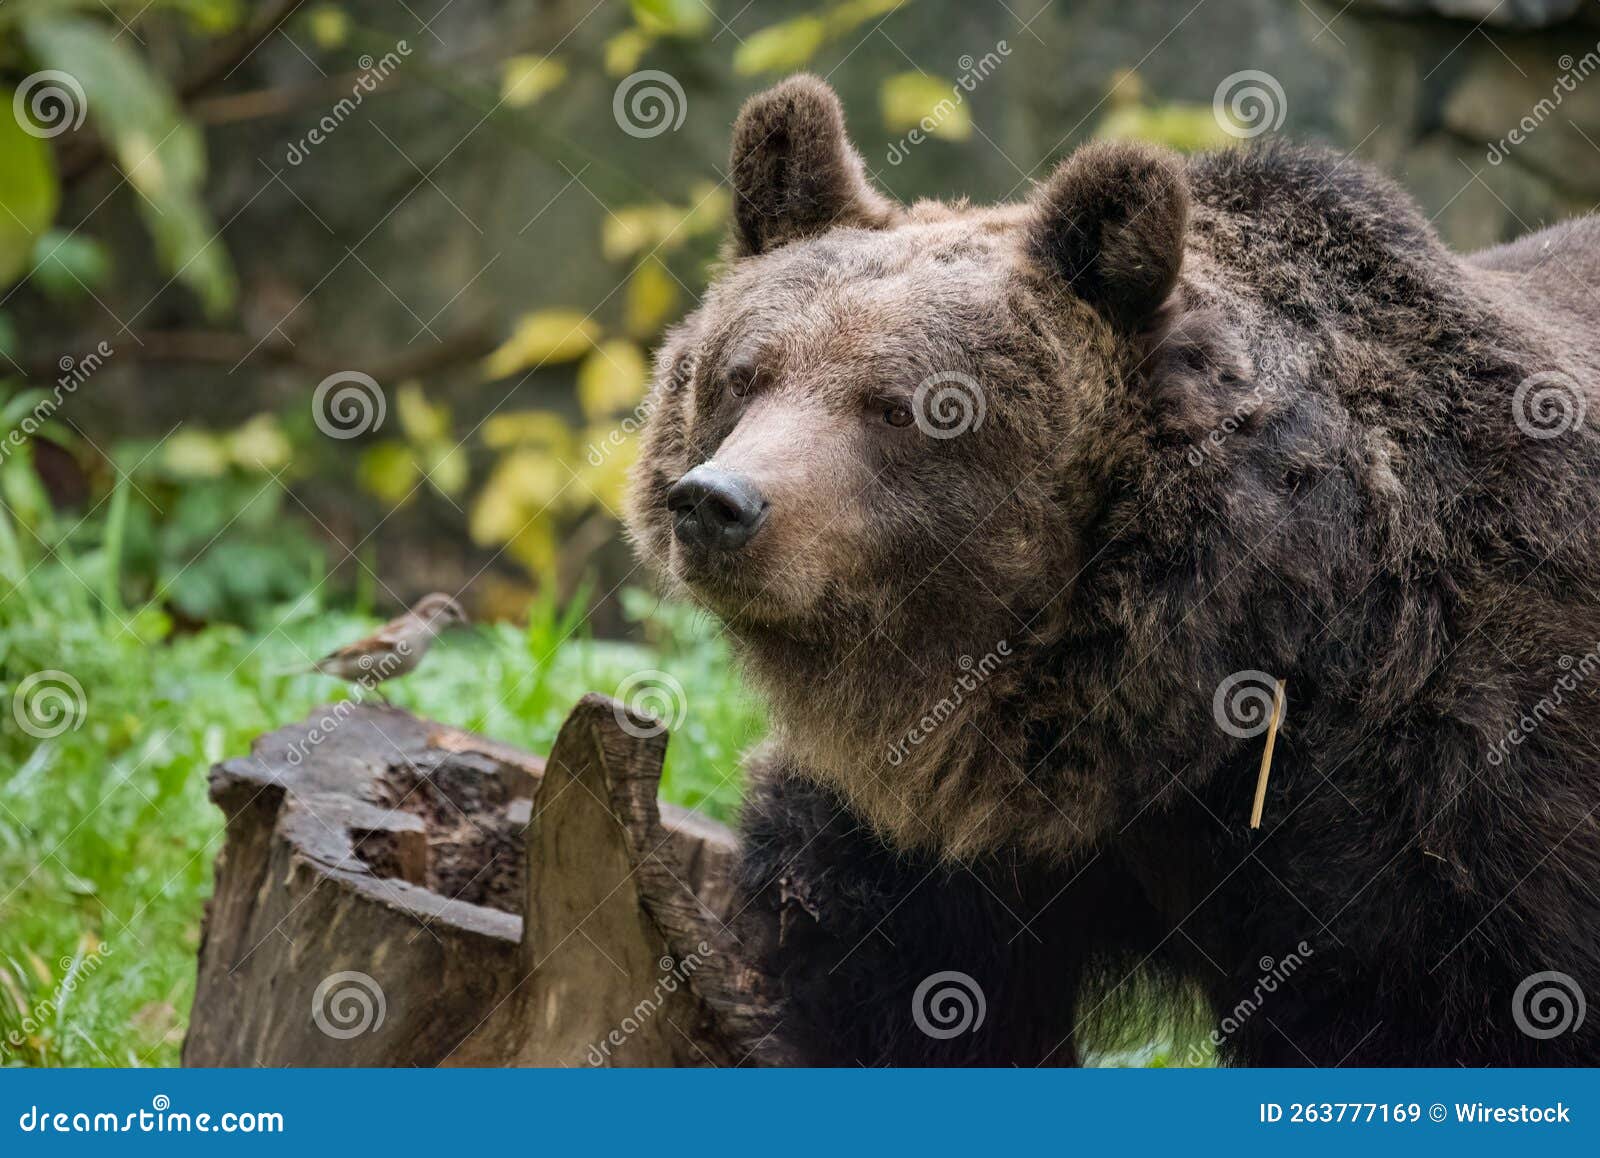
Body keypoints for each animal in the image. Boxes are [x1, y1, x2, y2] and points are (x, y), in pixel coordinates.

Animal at [626, 74, 1600, 1066]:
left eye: (899, 407)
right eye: (744, 374)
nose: (718, 503)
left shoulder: (1447, 796)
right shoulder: (944, 851)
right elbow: (894, 990)